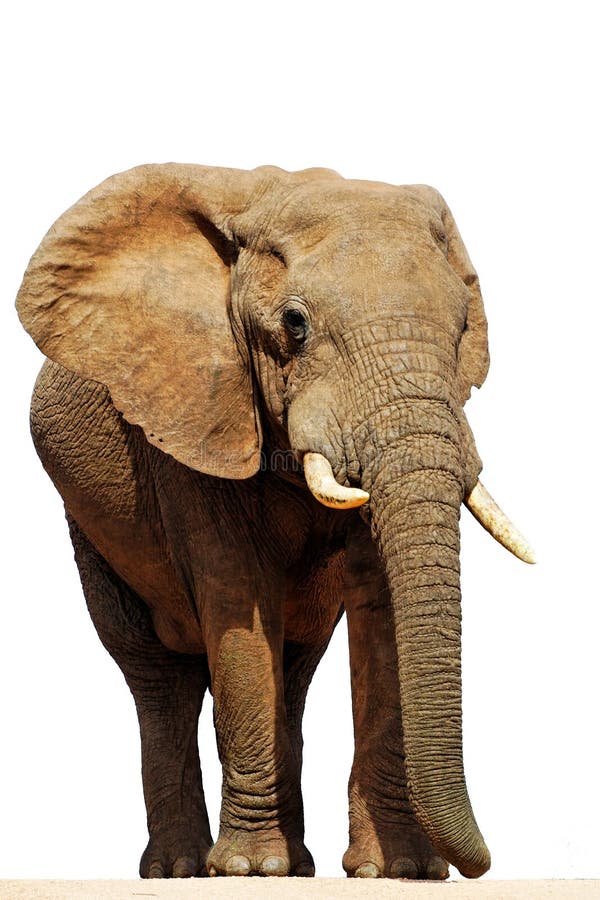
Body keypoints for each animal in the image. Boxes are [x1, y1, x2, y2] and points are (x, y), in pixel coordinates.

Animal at [16, 163, 534, 881]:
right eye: (295, 325)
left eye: (463, 328)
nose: (481, 863)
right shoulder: (194, 415)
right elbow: (238, 593)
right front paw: (248, 871)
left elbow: (380, 607)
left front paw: (399, 870)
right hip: (90, 529)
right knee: (155, 673)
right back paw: (182, 868)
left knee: (294, 662)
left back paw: (296, 865)